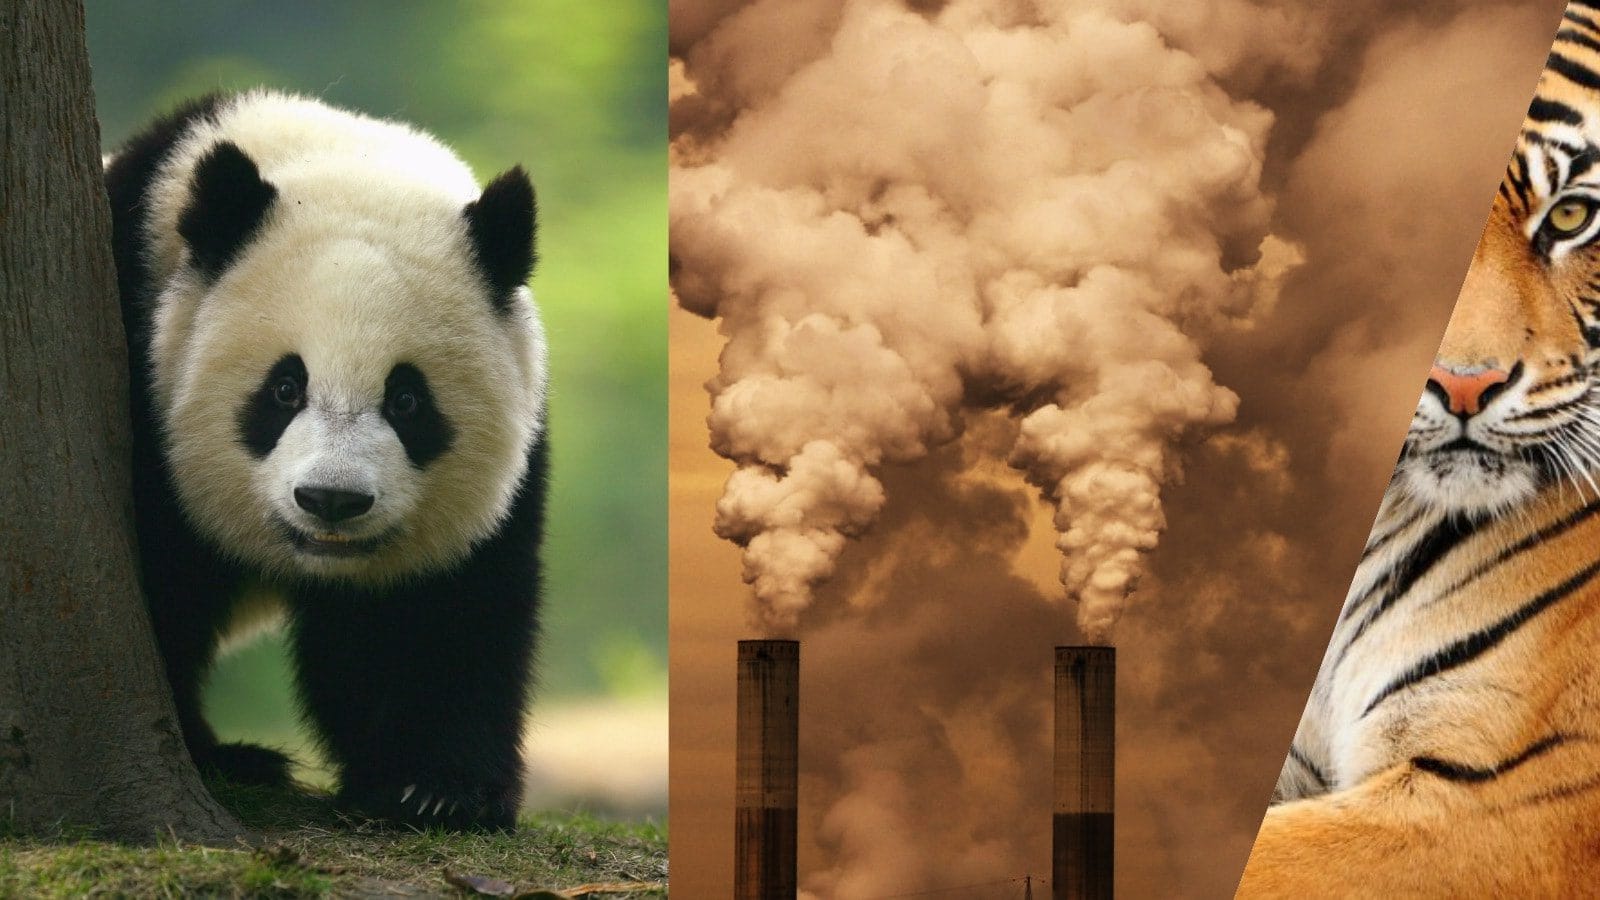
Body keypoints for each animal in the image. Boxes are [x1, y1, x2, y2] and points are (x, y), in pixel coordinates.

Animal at [102, 90, 547, 831]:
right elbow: (163, 587)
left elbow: (445, 610)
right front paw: (207, 755)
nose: (332, 500)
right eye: (286, 388)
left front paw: (436, 788)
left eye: (407, 400)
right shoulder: (138, 348)